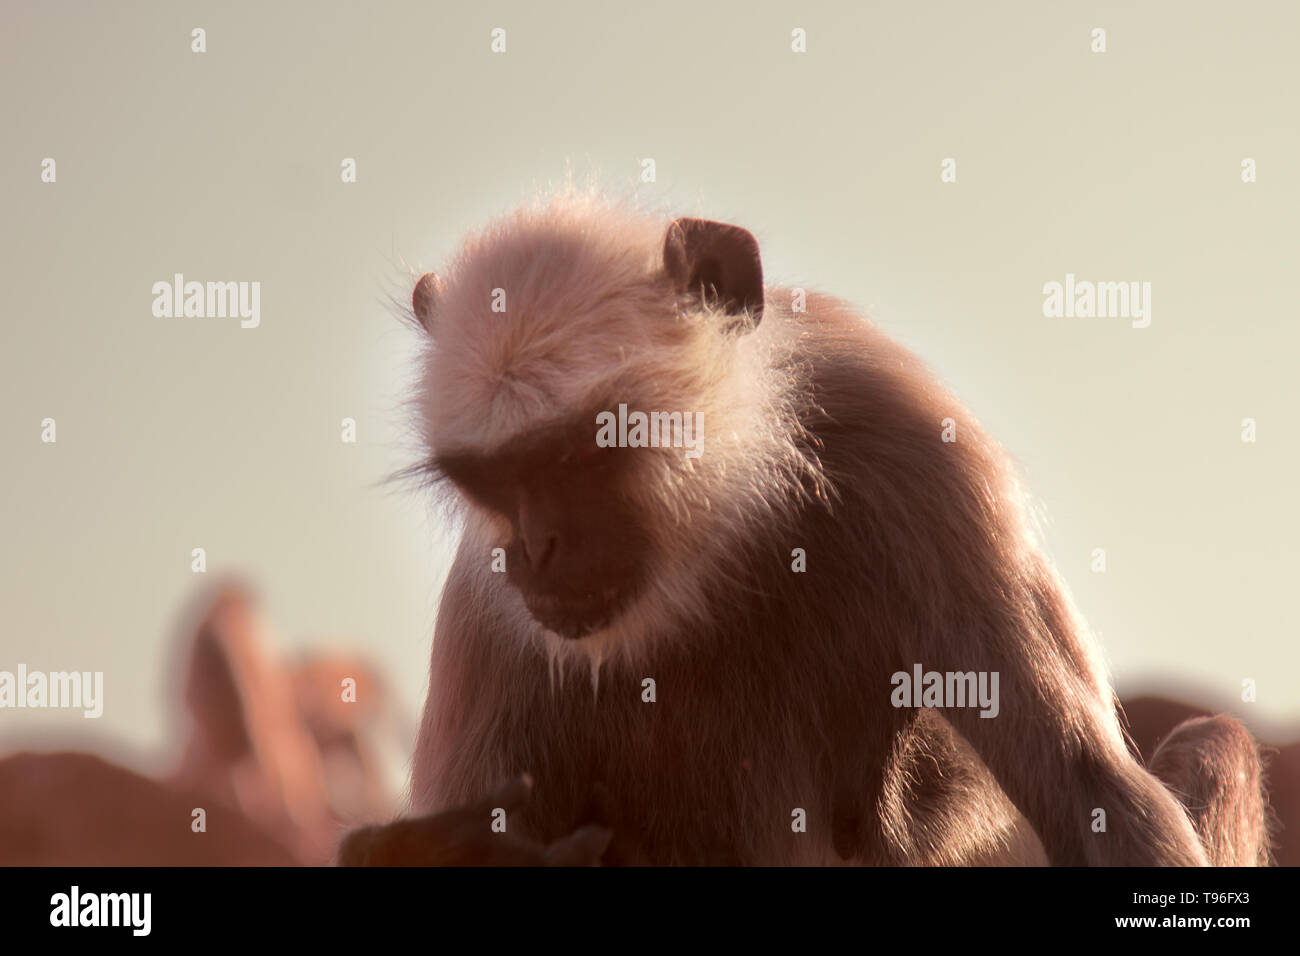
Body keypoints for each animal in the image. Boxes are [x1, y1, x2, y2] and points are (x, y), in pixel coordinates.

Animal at [340, 191, 1269, 866]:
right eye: (494, 482)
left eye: (582, 457)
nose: (535, 547)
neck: (723, 545)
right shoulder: (491, 614)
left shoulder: (919, 457)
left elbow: (1094, 794)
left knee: (1213, 737)